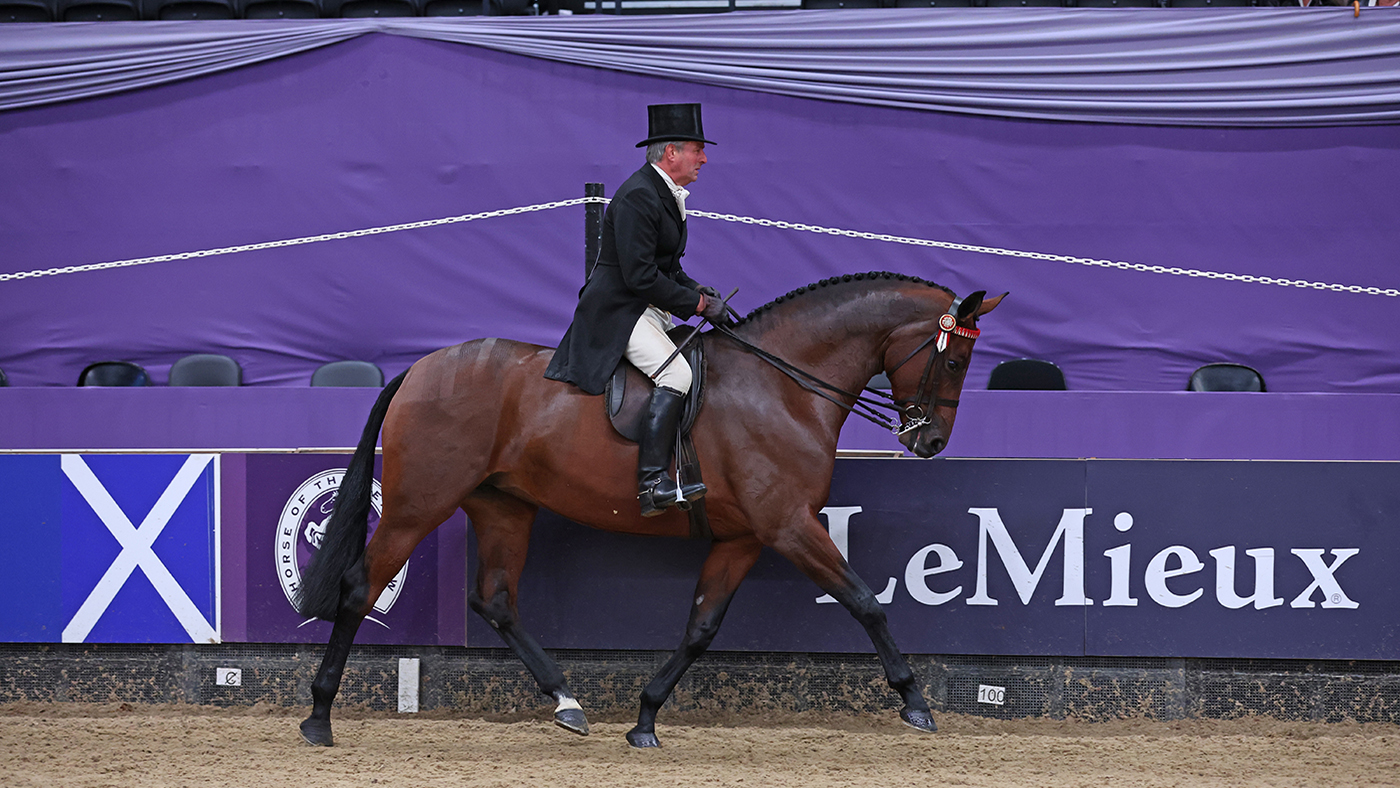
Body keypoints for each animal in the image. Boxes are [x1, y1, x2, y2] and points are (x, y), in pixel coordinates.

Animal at [295, 271, 1004, 748]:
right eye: (956, 360)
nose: (931, 443)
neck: (782, 386)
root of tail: (418, 369)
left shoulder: (744, 537)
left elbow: (700, 627)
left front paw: (644, 717)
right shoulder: (789, 526)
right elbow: (865, 601)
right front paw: (915, 702)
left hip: (504, 507)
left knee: (495, 599)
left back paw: (568, 702)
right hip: (418, 505)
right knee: (361, 586)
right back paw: (319, 717)